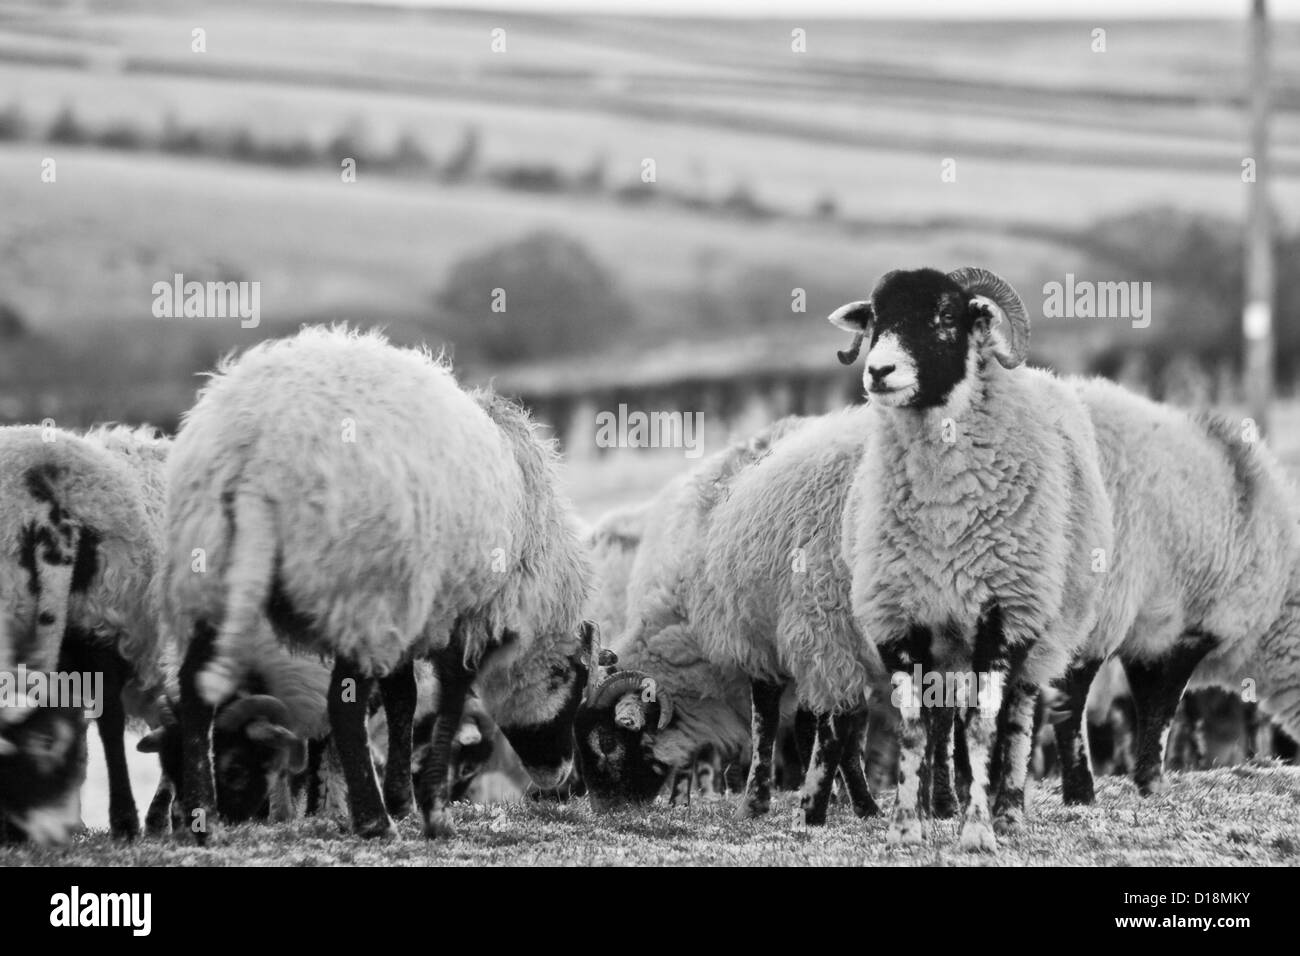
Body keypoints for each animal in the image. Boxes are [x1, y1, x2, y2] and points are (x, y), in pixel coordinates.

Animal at [165, 327, 594, 841]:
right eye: (573, 679)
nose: (562, 778)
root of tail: (261, 454)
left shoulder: (412, 610)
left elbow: (403, 697)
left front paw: (404, 799)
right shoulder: (465, 613)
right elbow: (449, 697)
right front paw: (431, 808)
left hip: (208, 568)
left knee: (194, 689)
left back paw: (202, 820)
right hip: (360, 589)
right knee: (342, 706)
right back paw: (372, 821)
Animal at [829, 266, 1113, 851]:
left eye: (945, 316)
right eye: (875, 318)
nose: (878, 371)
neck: (944, 515)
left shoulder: (1004, 614)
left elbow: (985, 727)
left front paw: (978, 831)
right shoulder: (899, 615)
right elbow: (914, 726)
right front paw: (906, 827)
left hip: (1040, 627)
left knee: (1018, 717)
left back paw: (1008, 811)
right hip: (948, 643)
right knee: (942, 721)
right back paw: (939, 804)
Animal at [1046, 378, 1300, 803]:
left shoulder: (1151, 630)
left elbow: (1149, 702)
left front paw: (1146, 780)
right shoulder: (1198, 625)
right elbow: (1163, 707)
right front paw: (1152, 781)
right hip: (1096, 593)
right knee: (1071, 692)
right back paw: (1081, 793)